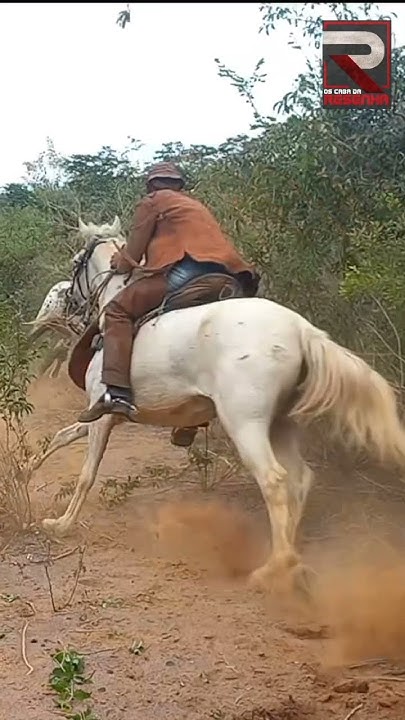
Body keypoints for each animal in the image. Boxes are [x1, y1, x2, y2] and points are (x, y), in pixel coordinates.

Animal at [33, 216, 405, 592]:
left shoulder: (103, 416)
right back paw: (291, 562)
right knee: (299, 480)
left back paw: (272, 568)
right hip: (281, 424)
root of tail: (301, 329)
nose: (71, 306)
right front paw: (28, 469)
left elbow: (87, 473)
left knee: (274, 480)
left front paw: (61, 524)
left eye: (75, 264)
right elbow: (62, 436)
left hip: (245, 423)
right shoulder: (105, 415)